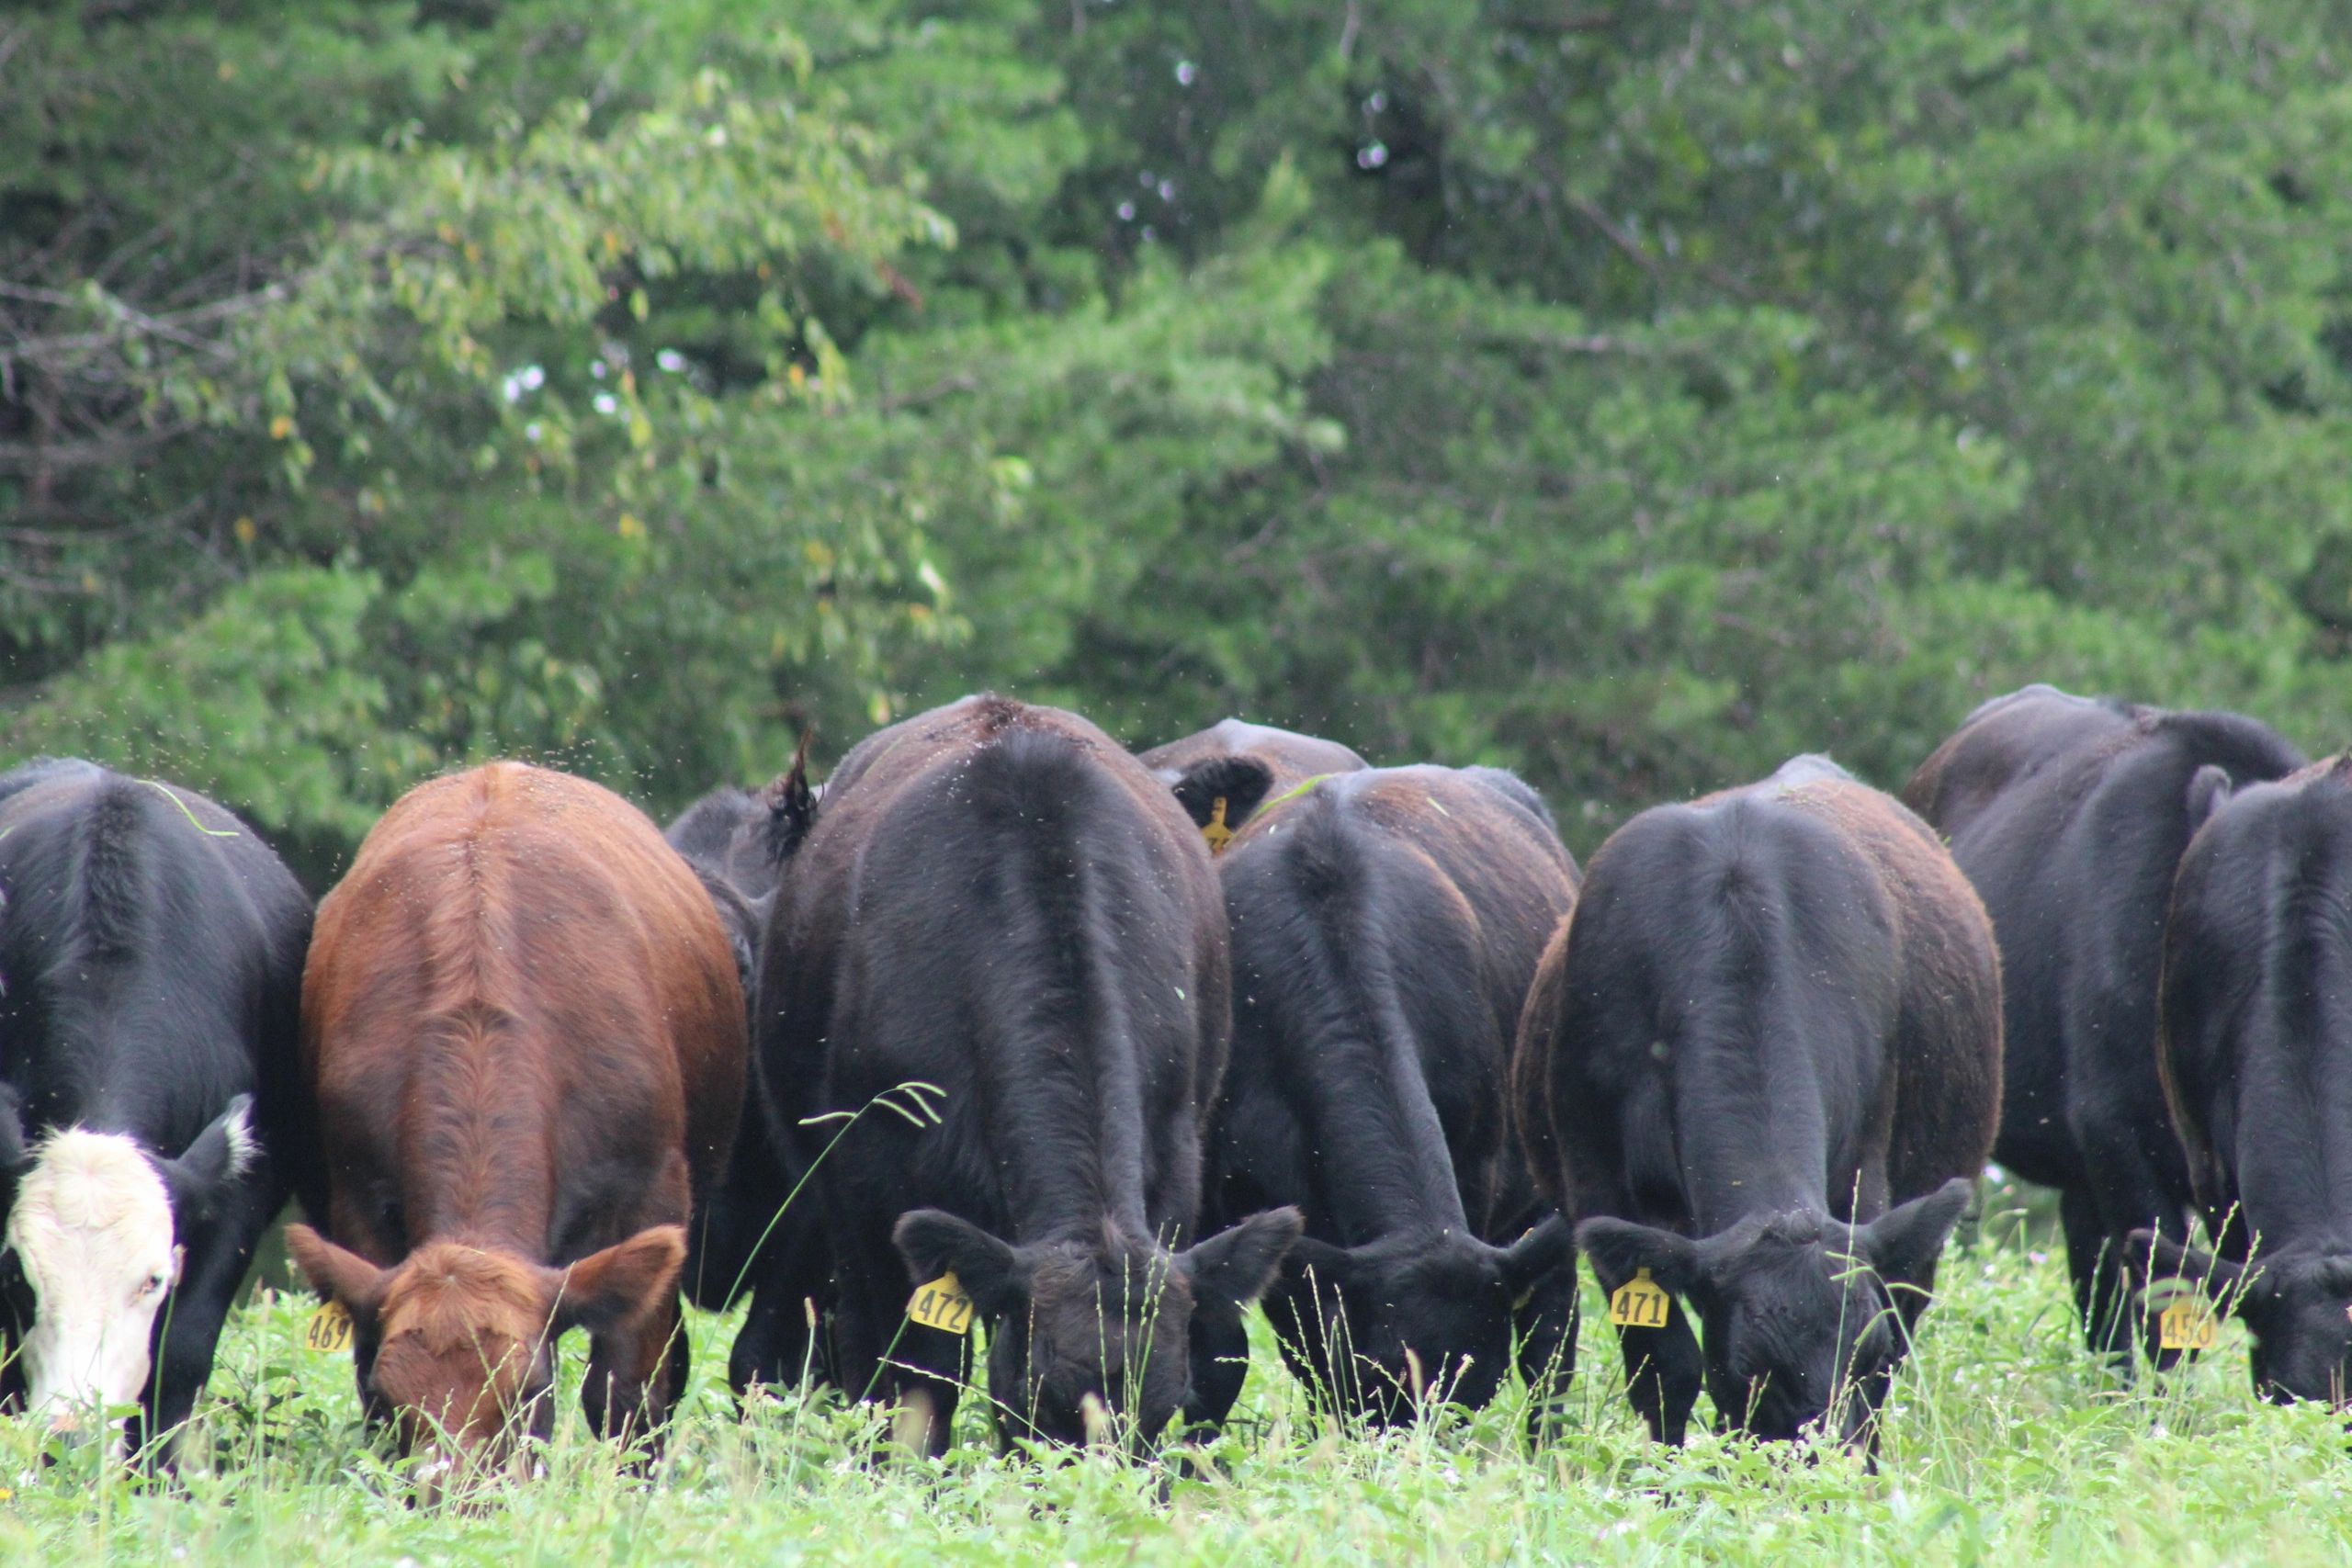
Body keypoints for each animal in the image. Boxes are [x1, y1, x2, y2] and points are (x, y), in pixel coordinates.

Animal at [283, 762, 745, 1490]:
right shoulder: (356, 1201)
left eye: (527, 1392)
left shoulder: (653, 1199)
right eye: (391, 1397)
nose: (457, 1499)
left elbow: (628, 1393)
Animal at [1514, 755, 2000, 1446]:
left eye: (1867, 1352)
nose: (1824, 1461)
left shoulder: (1865, 1186)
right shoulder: (1600, 1192)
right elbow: (1666, 1370)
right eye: (1748, 1366)